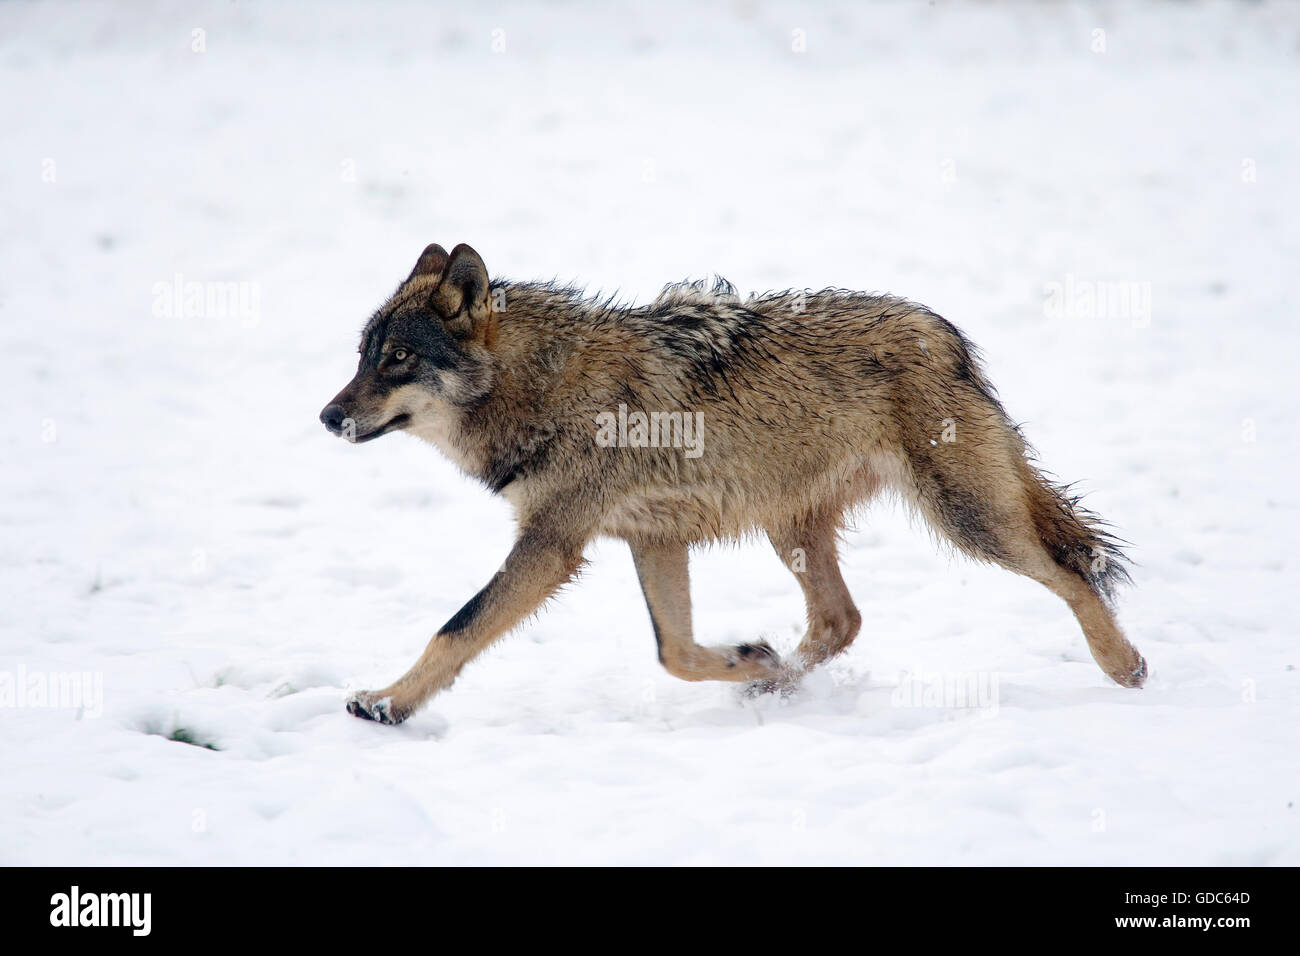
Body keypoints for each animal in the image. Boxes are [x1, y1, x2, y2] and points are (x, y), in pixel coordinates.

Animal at [320, 243, 1147, 725]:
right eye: (362, 356)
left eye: (397, 359)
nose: (327, 416)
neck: (545, 387)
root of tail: (943, 331)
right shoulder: (652, 539)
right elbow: (675, 652)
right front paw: (750, 659)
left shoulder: (552, 546)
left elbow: (455, 629)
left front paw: (388, 704)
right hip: (793, 527)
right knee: (841, 620)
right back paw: (773, 682)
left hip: (968, 521)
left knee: (1072, 568)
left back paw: (1126, 667)